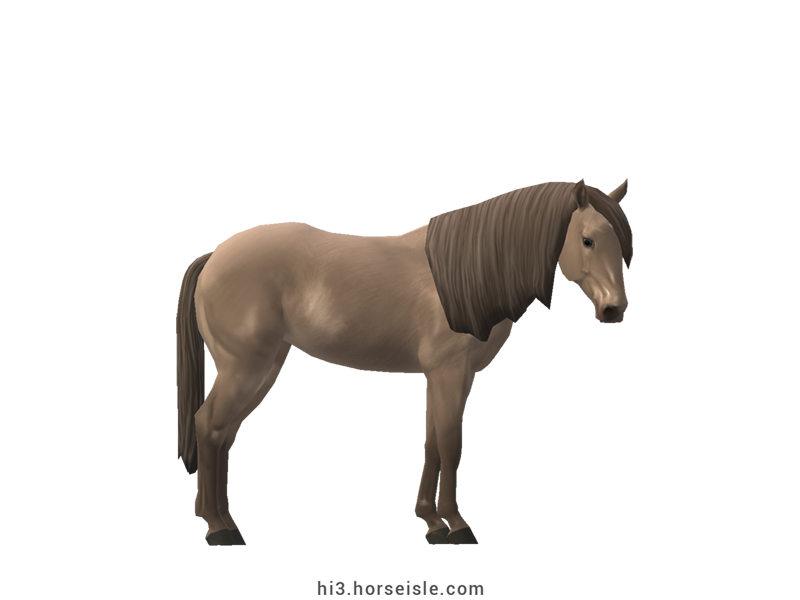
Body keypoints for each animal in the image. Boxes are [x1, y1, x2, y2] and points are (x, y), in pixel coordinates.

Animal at [176, 181, 633, 543]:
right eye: (588, 239)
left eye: (620, 238)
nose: (614, 308)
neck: (463, 275)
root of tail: (214, 258)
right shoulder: (448, 370)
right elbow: (451, 441)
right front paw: (456, 522)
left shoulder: (443, 375)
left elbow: (432, 442)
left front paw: (429, 518)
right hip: (242, 367)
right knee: (208, 426)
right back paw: (216, 527)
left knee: (217, 431)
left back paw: (217, 517)